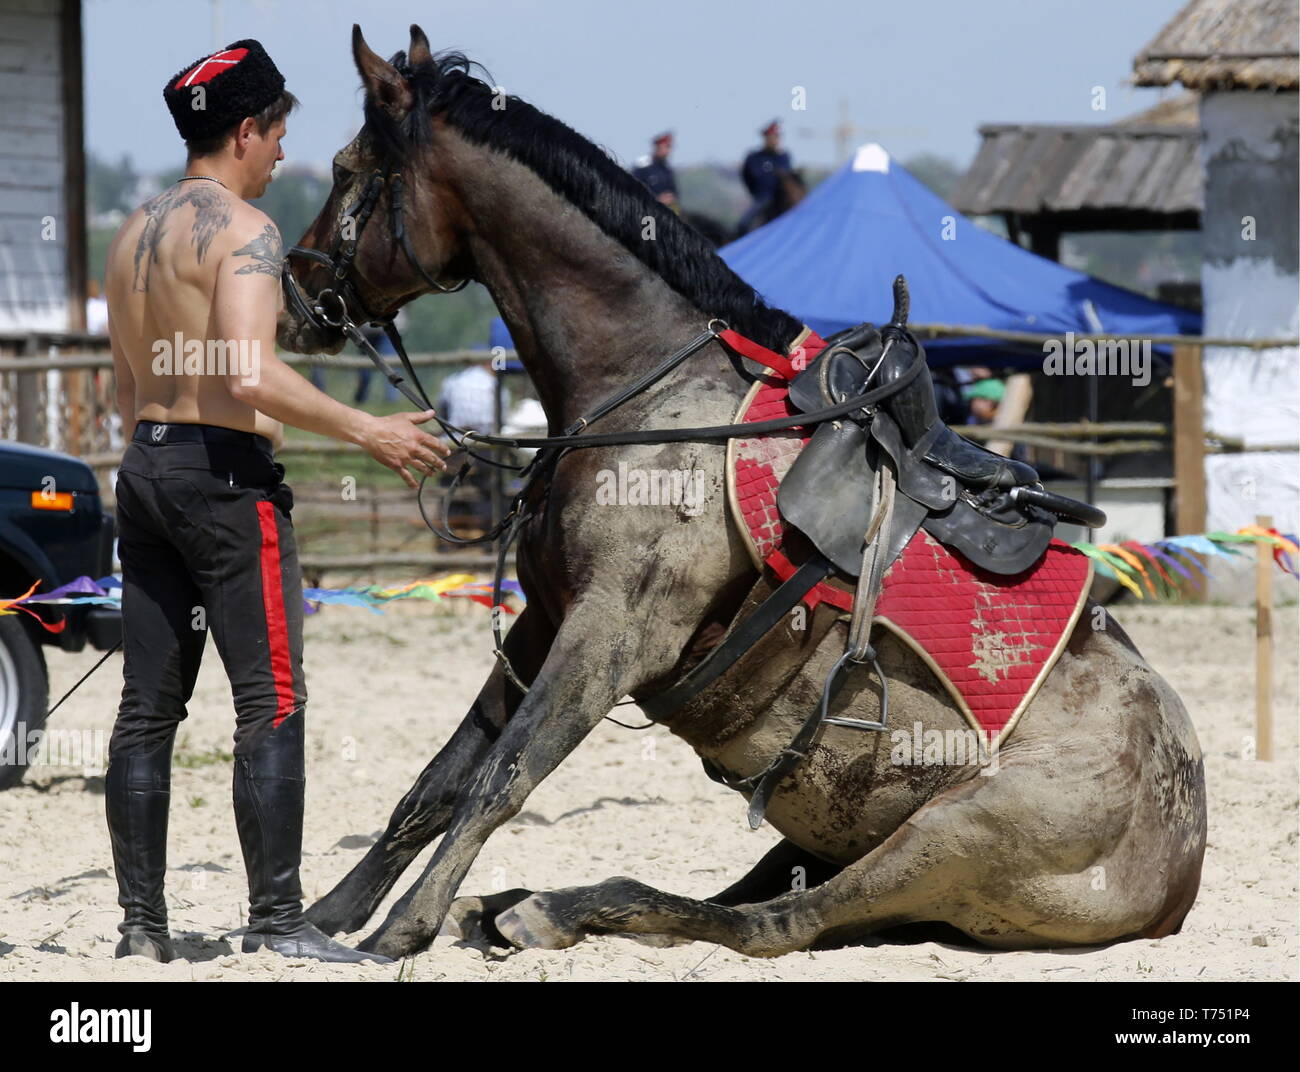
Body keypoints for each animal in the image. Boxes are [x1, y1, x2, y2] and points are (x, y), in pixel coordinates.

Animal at [277, 25, 1207, 961]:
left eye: (347, 169)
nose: (293, 296)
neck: (651, 397)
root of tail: (1181, 870)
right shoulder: (544, 621)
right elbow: (439, 781)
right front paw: (326, 918)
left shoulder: (609, 636)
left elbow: (502, 778)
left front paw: (404, 926)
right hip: (836, 835)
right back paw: (519, 903)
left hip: (948, 834)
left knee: (776, 923)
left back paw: (551, 909)